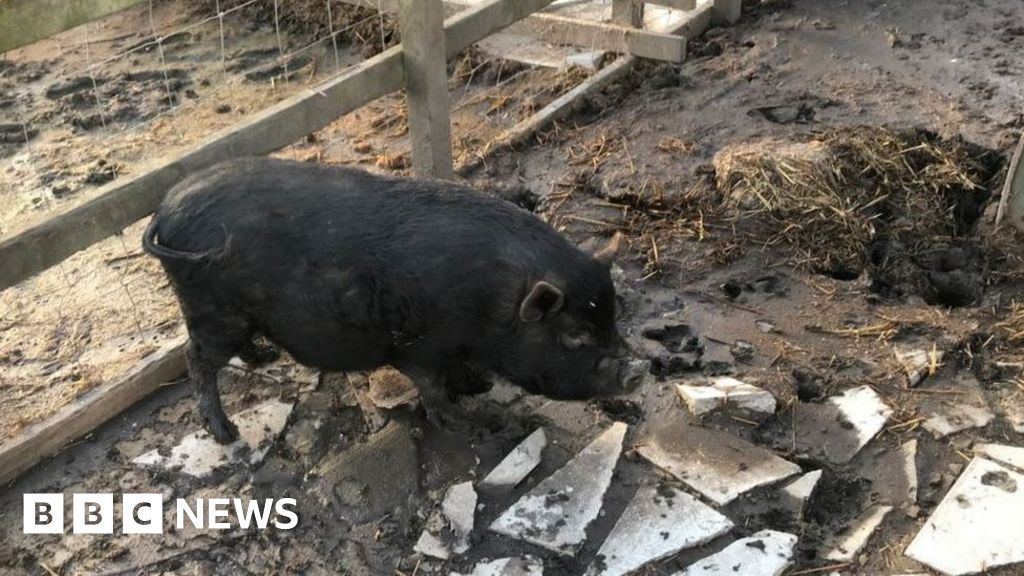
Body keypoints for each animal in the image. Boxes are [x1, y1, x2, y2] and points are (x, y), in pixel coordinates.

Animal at [143, 158, 646, 443]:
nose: (638, 369)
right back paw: (226, 434)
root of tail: (165, 209)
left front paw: (479, 386)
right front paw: (472, 423)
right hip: (210, 309)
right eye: (575, 336)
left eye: (614, 317)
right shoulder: (422, 348)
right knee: (196, 357)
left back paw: (263, 358)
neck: (494, 303)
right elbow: (433, 392)